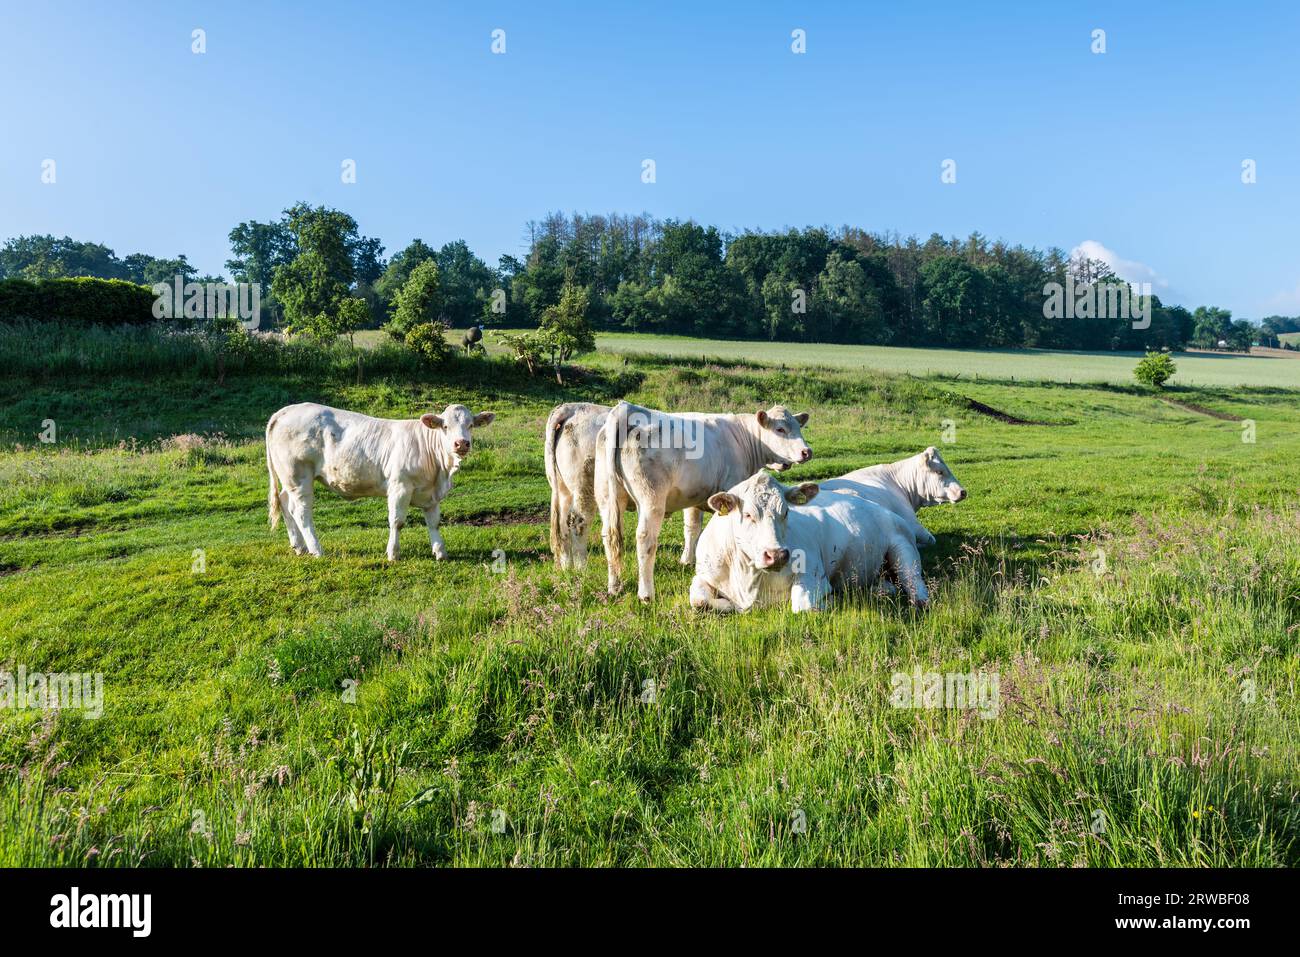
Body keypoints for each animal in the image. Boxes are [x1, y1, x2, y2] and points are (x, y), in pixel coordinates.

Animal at [265, 402, 494, 560]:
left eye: (471, 425)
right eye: (445, 426)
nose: (461, 443)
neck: (439, 472)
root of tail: (285, 411)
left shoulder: (431, 494)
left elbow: (434, 522)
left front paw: (440, 552)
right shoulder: (400, 487)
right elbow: (397, 521)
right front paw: (393, 553)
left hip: (289, 479)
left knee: (285, 504)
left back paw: (299, 547)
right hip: (299, 476)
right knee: (302, 513)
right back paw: (316, 549)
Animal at [599, 400, 813, 601]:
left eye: (798, 427)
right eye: (780, 429)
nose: (807, 451)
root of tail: (626, 408)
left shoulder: (694, 497)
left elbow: (692, 528)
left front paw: (687, 561)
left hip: (607, 498)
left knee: (609, 537)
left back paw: (614, 587)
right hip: (651, 500)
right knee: (645, 539)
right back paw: (646, 594)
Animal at [689, 472, 929, 614]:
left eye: (786, 511)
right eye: (748, 515)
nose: (777, 555)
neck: (748, 578)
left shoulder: (813, 572)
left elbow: (803, 607)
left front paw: (831, 600)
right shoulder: (704, 573)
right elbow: (699, 601)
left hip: (903, 546)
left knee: (914, 582)